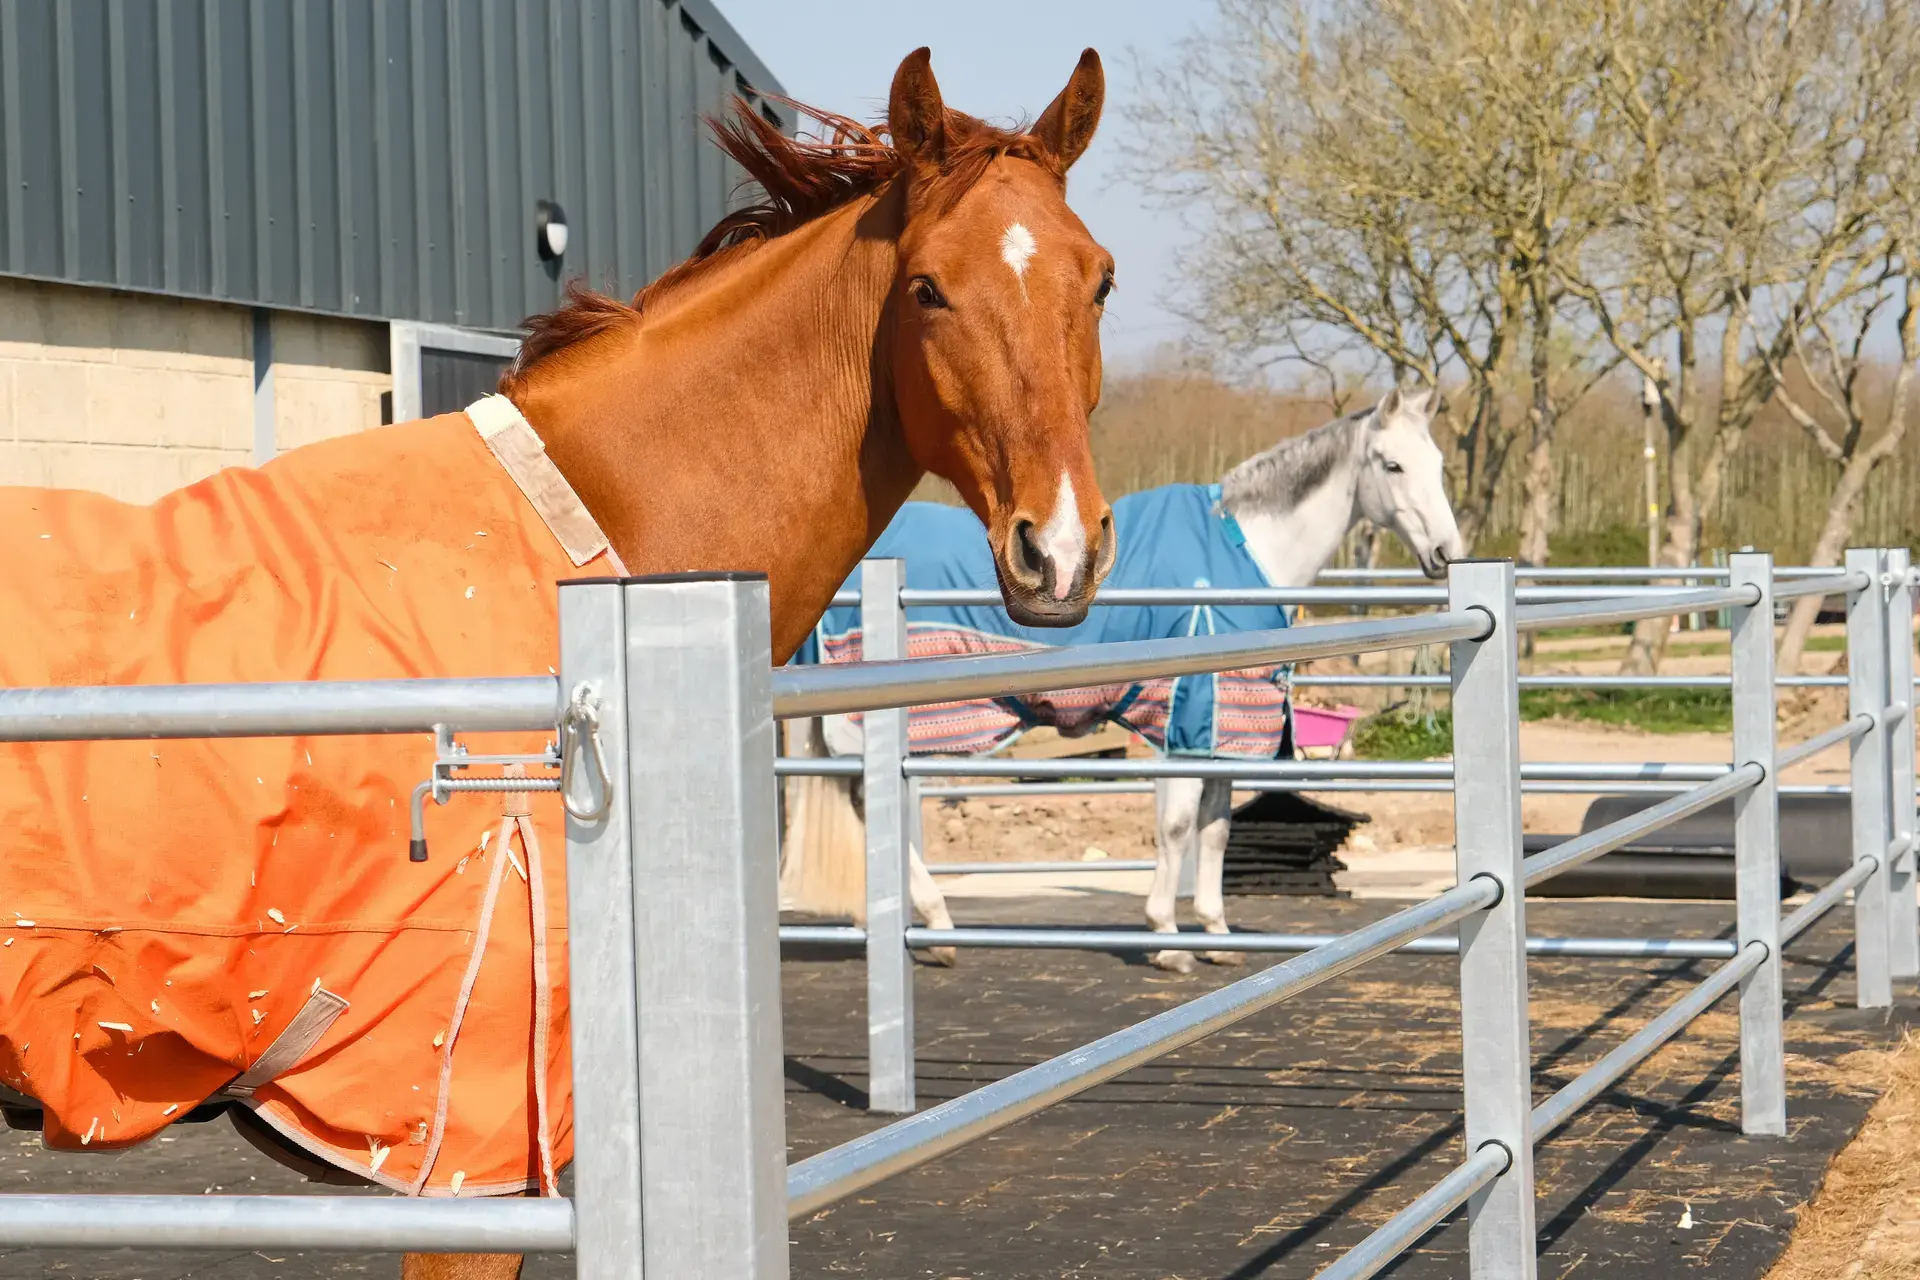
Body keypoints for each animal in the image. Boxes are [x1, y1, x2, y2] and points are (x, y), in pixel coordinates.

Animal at [794, 387, 1462, 975]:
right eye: (1393, 464)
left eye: (1438, 464)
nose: (1447, 553)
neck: (1242, 554)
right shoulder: (1179, 726)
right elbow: (1175, 830)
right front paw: (1167, 940)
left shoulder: (1219, 732)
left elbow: (1215, 832)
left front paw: (1216, 934)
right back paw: (937, 927)